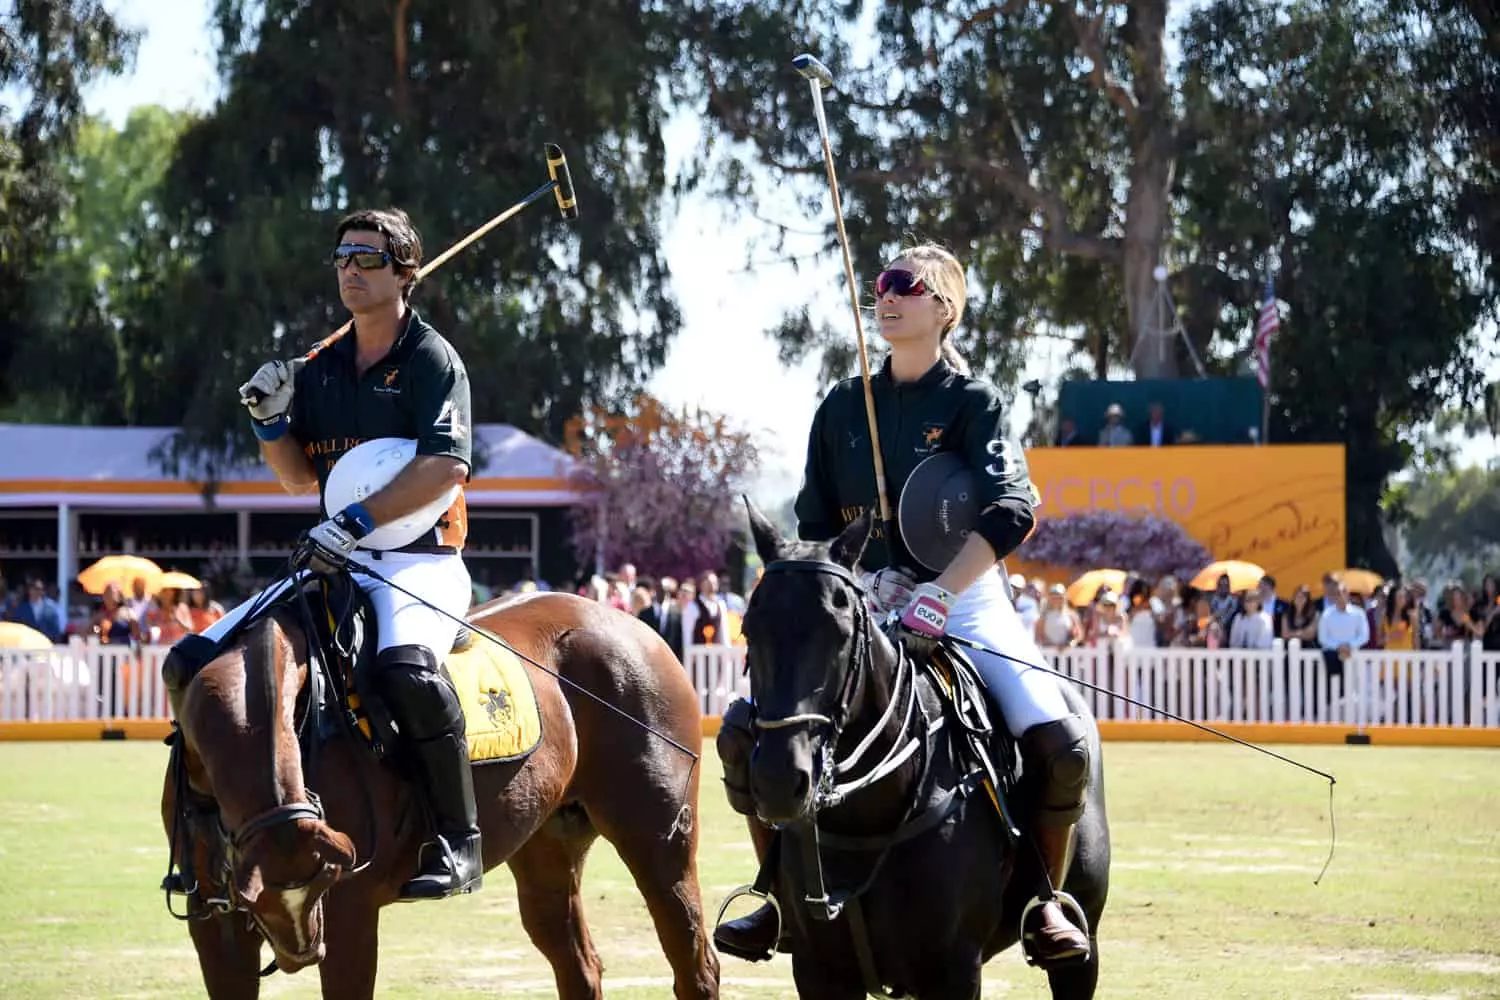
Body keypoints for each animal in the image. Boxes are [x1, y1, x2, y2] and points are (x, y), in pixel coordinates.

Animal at [162, 587, 720, 1000]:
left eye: (321, 886)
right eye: (257, 901)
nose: (300, 953)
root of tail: (636, 626)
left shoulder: (349, 912)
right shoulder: (215, 924)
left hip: (657, 842)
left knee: (695, 962)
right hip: (548, 845)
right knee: (579, 965)